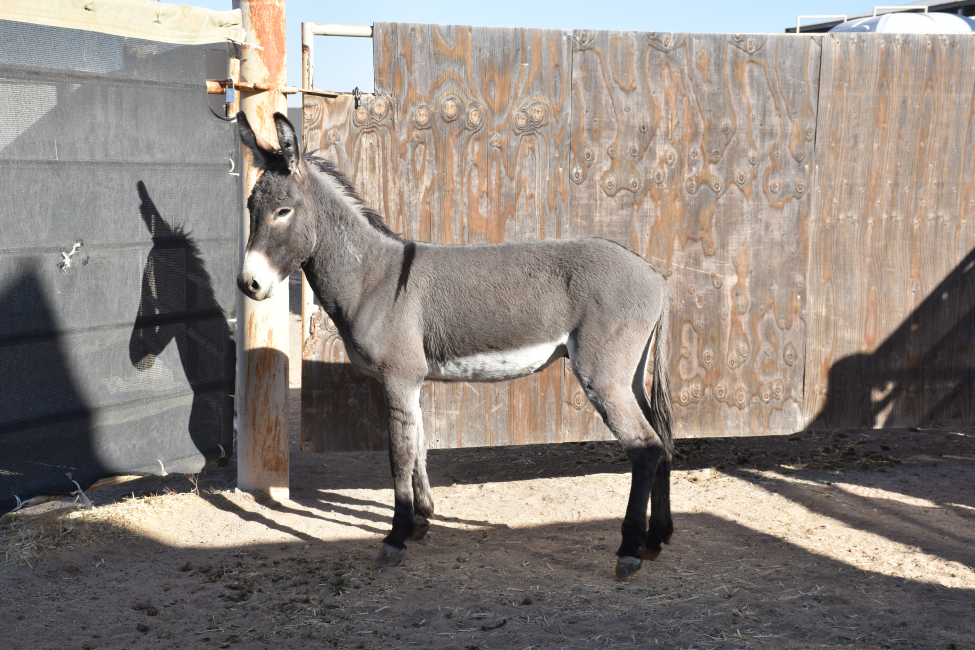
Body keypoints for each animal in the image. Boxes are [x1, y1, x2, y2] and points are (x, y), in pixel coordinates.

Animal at [235, 111, 674, 580]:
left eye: (283, 211)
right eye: (250, 209)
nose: (249, 284)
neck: (374, 279)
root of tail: (653, 272)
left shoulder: (398, 378)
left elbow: (399, 454)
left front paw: (396, 536)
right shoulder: (412, 381)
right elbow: (419, 447)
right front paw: (422, 521)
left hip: (602, 375)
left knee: (645, 447)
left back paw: (629, 550)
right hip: (629, 375)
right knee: (662, 439)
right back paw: (656, 539)